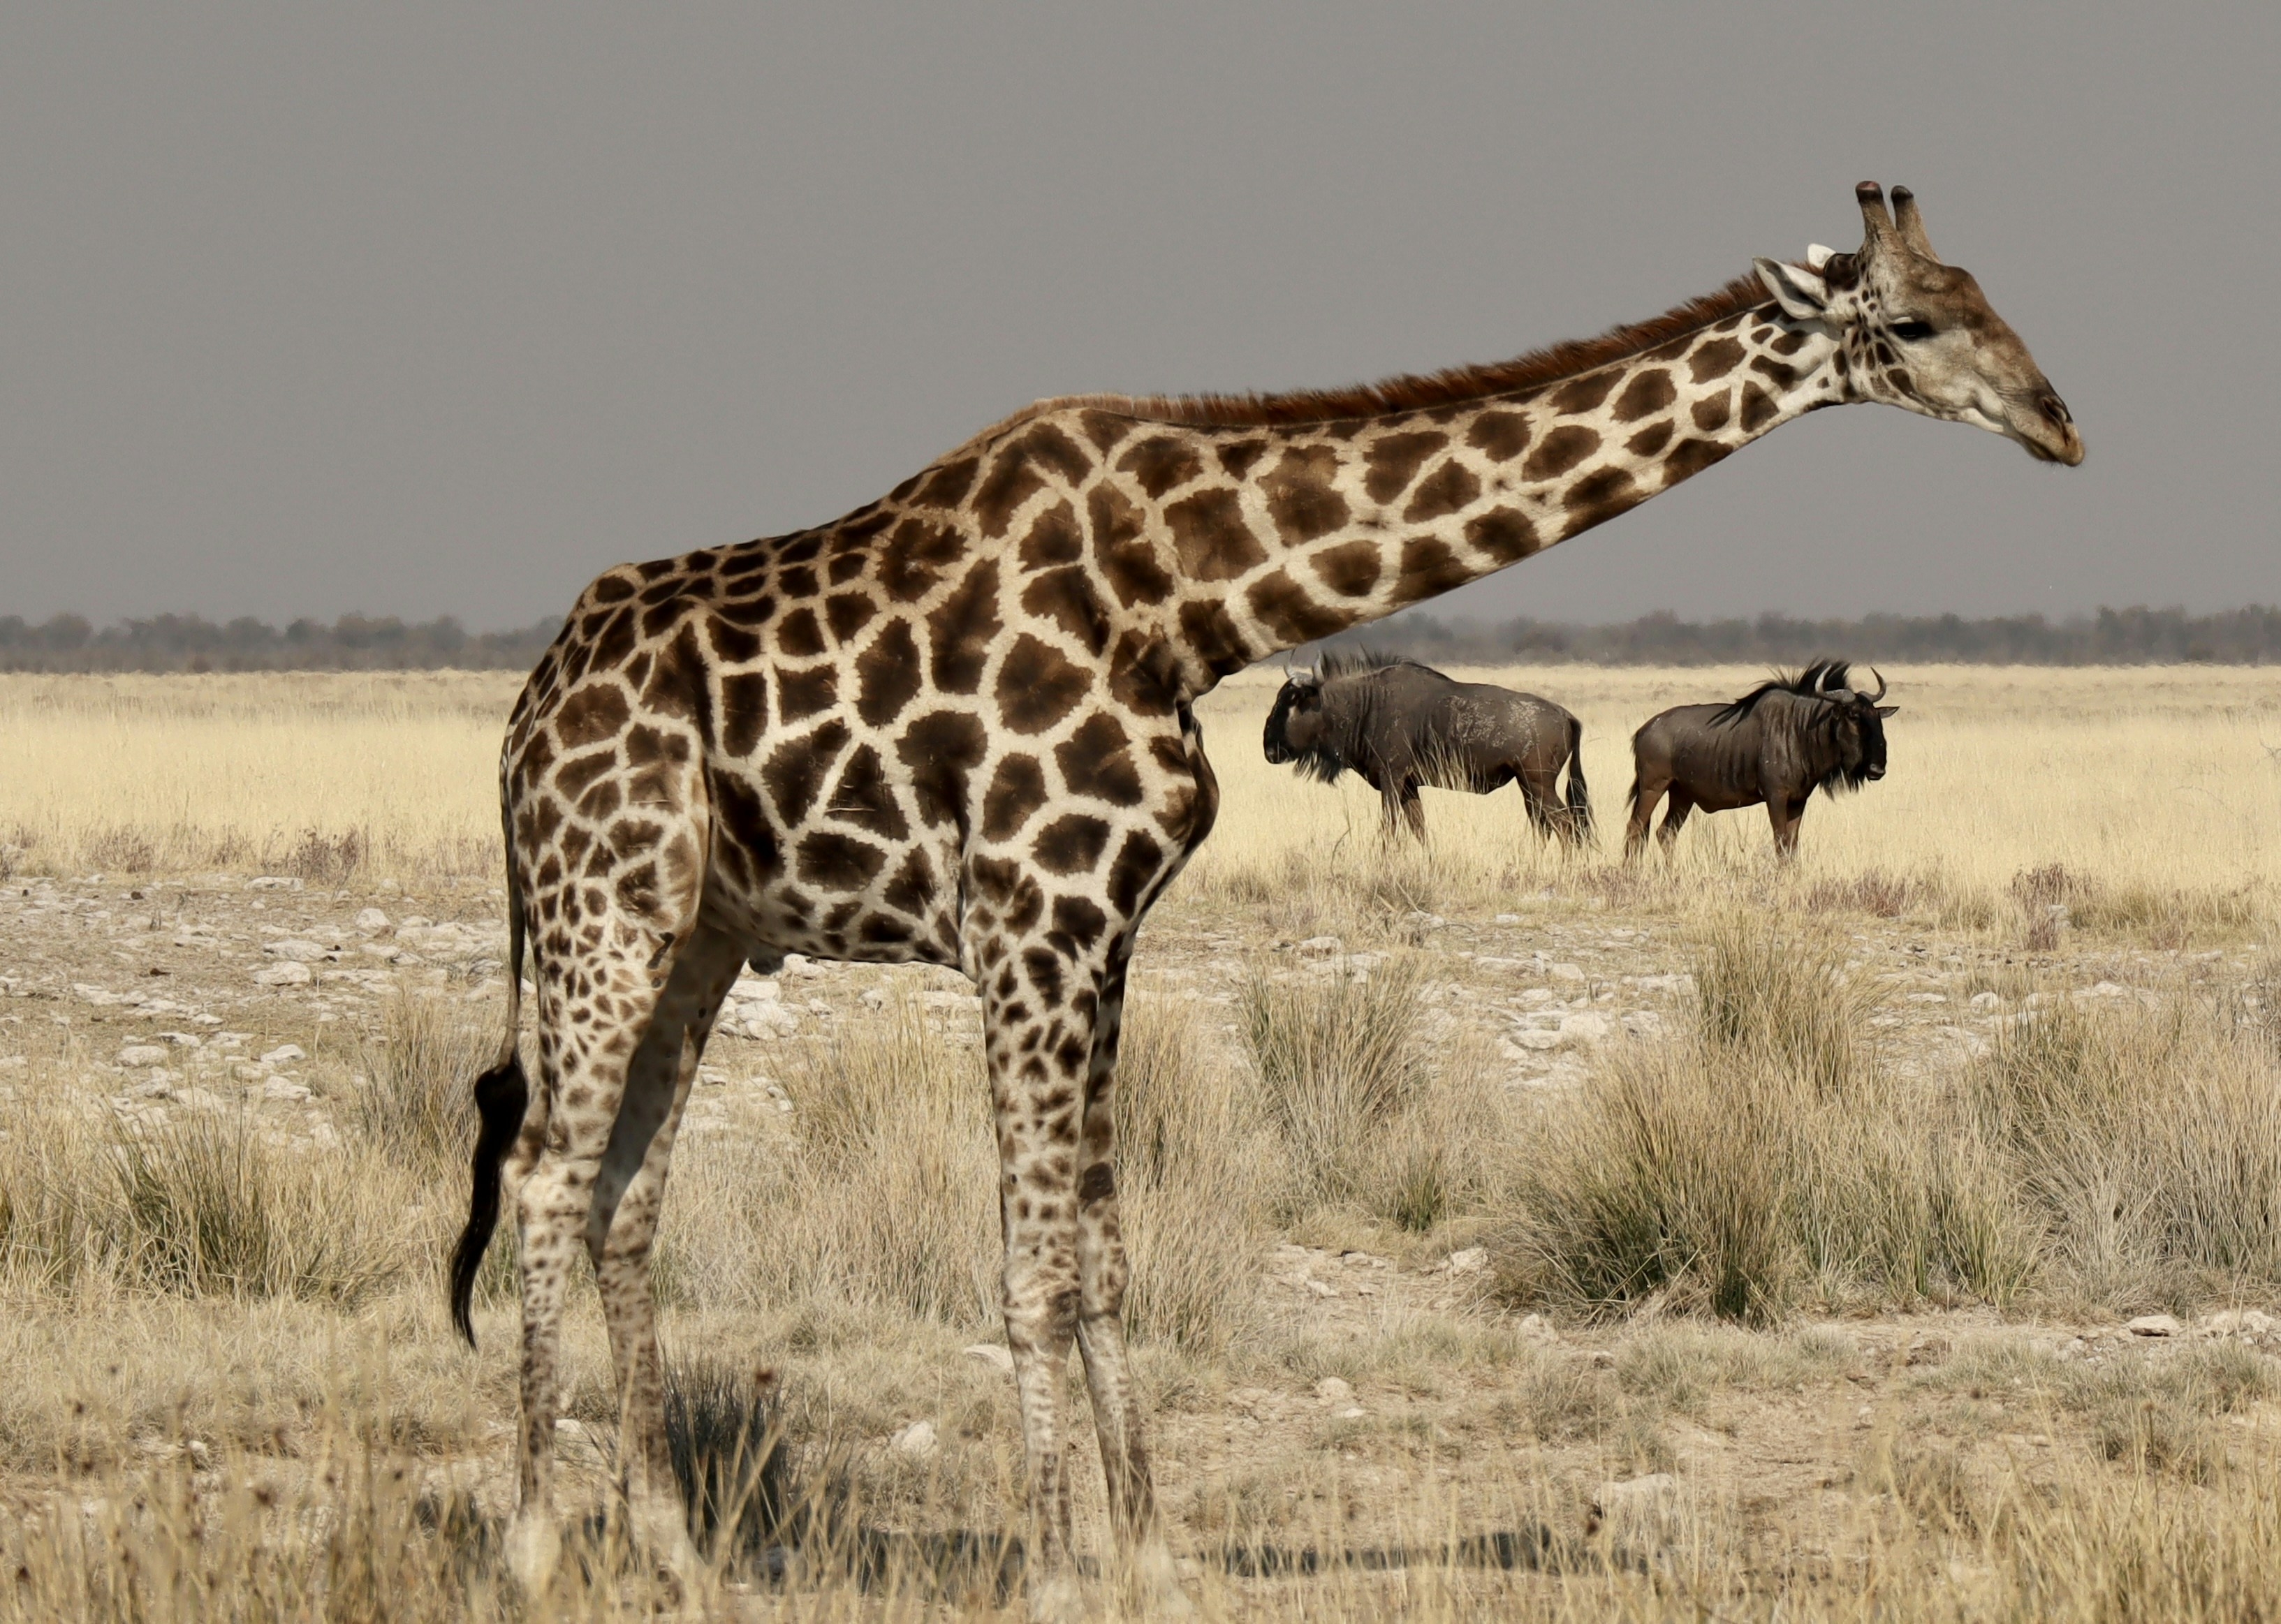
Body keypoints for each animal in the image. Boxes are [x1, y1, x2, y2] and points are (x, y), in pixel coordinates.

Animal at [448, 183, 2079, 1617]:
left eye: (1989, 295)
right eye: (1921, 321)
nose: (2060, 421)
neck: (1193, 597)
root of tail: (527, 716)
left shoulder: (1104, 931)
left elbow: (1106, 1251)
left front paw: (1154, 1562)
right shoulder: (1031, 916)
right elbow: (1034, 1260)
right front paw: (1055, 1572)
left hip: (700, 936)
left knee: (624, 1198)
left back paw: (672, 1556)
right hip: (603, 904)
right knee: (544, 1174)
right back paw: (530, 1549)